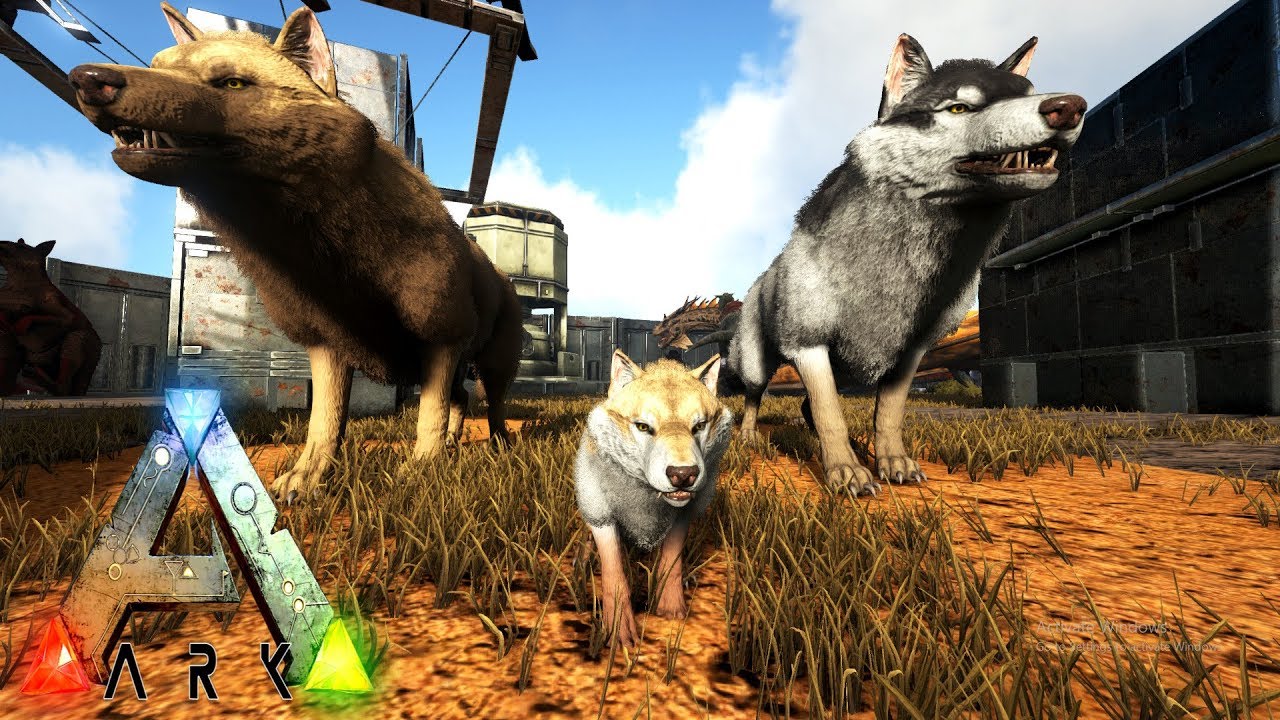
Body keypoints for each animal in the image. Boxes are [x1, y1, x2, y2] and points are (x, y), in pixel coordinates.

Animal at [67, 4, 523, 497]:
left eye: (232, 83)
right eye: (158, 65)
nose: (87, 78)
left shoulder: (442, 339)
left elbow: (429, 416)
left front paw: (421, 470)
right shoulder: (327, 345)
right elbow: (324, 422)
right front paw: (307, 478)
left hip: (495, 361)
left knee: (492, 406)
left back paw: (499, 446)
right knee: (462, 399)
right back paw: (457, 443)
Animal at [575, 350, 733, 647]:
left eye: (699, 426)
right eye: (643, 426)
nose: (683, 475)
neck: (647, 498)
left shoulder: (683, 515)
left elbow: (671, 561)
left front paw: (670, 608)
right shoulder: (601, 514)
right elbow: (614, 570)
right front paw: (619, 628)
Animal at [729, 34, 1085, 496]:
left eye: (1027, 93)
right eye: (959, 108)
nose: (1070, 106)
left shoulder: (909, 353)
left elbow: (888, 415)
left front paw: (891, 462)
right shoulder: (808, 346)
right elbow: (830, 415)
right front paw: (845, 473)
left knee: (807, 406)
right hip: (759, 365)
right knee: (756, 399)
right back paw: (750, 437)